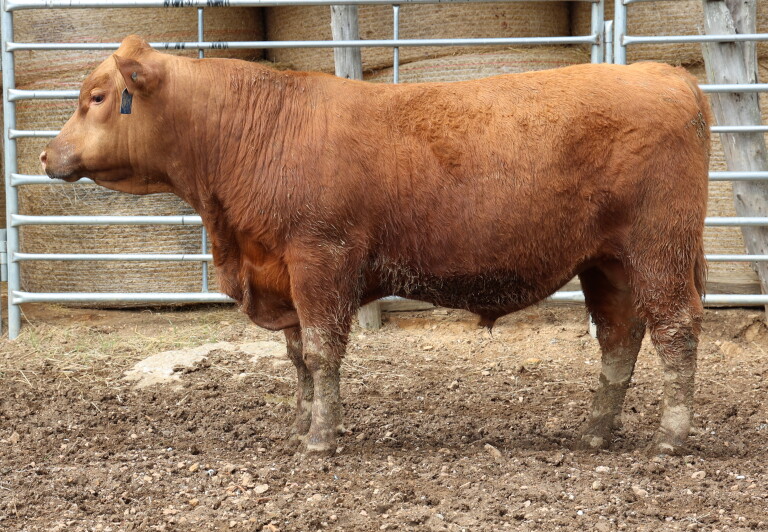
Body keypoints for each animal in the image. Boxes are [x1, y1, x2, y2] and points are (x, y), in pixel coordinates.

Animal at [41, 35, 710, 456]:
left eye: (96, 97)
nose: (46, 154)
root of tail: (665, 75)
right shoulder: (282, 273)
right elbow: (297, 360)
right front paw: (300, 426)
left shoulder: (320, 260)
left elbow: (320, 353)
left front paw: (319, 440)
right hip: (607, 263)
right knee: (619, 340)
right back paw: (595, 433)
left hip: (660, 248)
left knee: (676, 332)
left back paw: (671, 437)